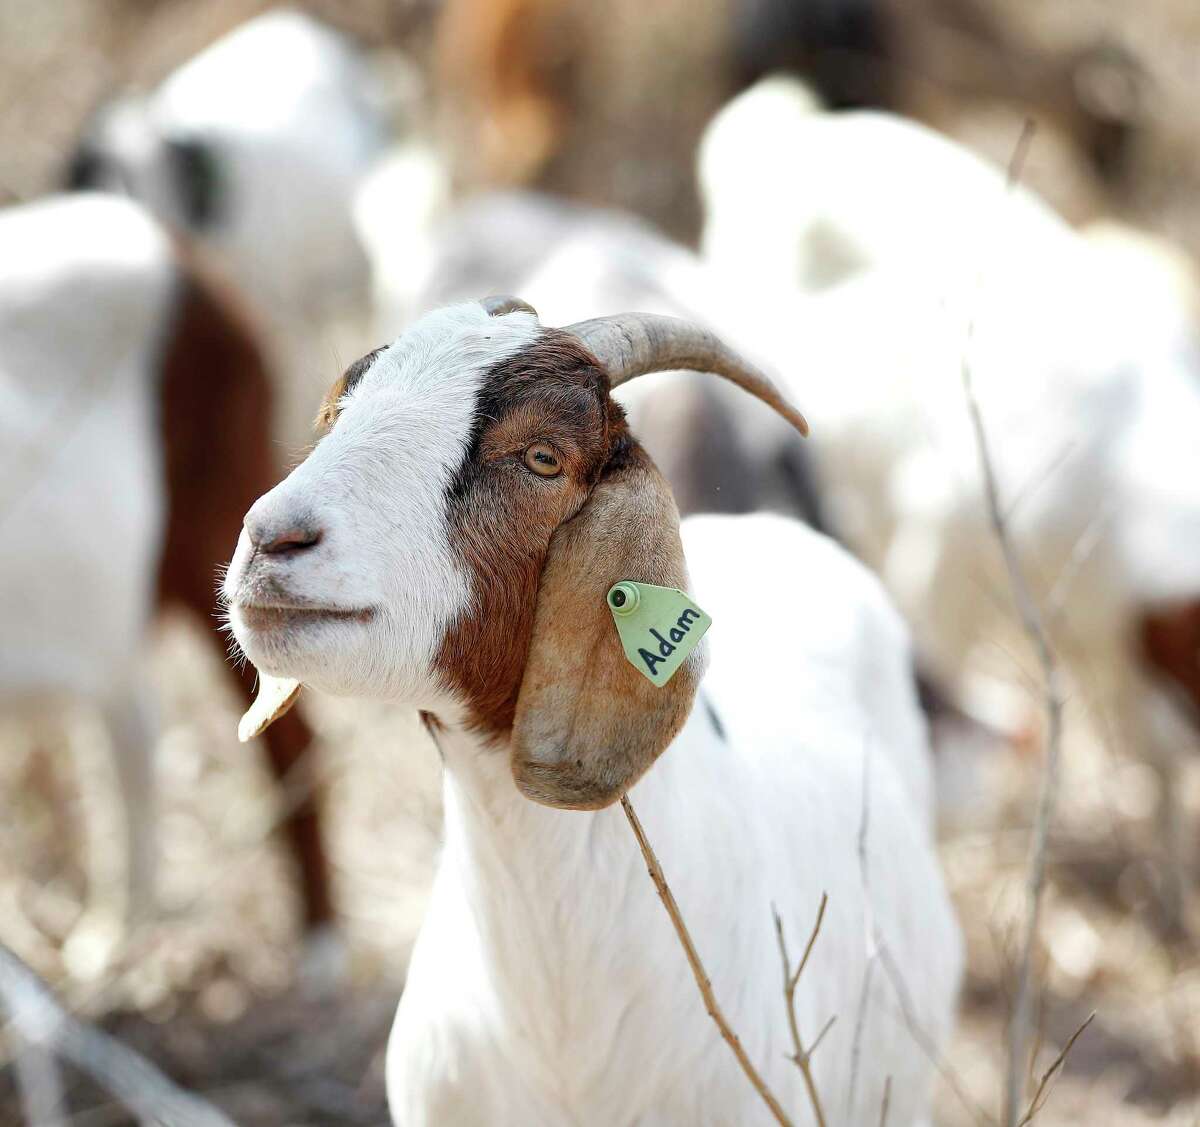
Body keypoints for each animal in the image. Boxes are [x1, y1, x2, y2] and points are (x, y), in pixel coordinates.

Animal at [0, 193, 332, 967]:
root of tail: (193, 268)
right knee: (131, 733)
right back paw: (115, 936)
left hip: (224, 538)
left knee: (287, 734)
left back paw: (318, 947)